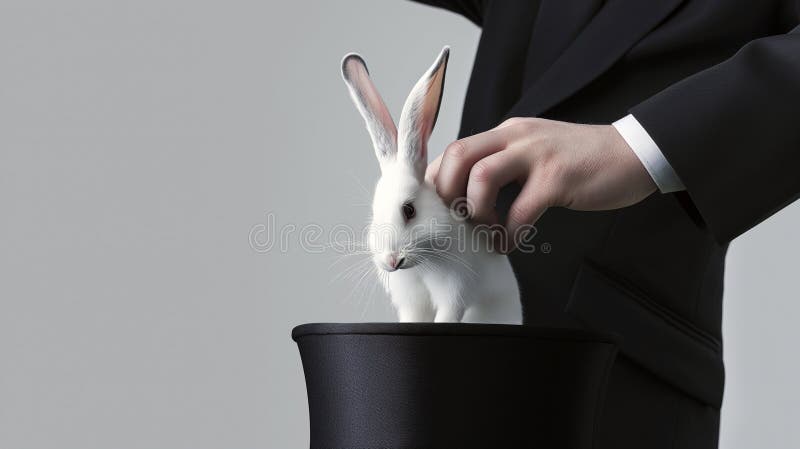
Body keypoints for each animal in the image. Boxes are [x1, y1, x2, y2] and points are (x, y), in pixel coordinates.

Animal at [341, 46, 522, 324]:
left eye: (409, 210)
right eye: (374, 214)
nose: (392, 260)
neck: (421, 266)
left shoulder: (455, 290)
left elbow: (447, 315)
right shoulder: (411, 302)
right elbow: (412, 318)